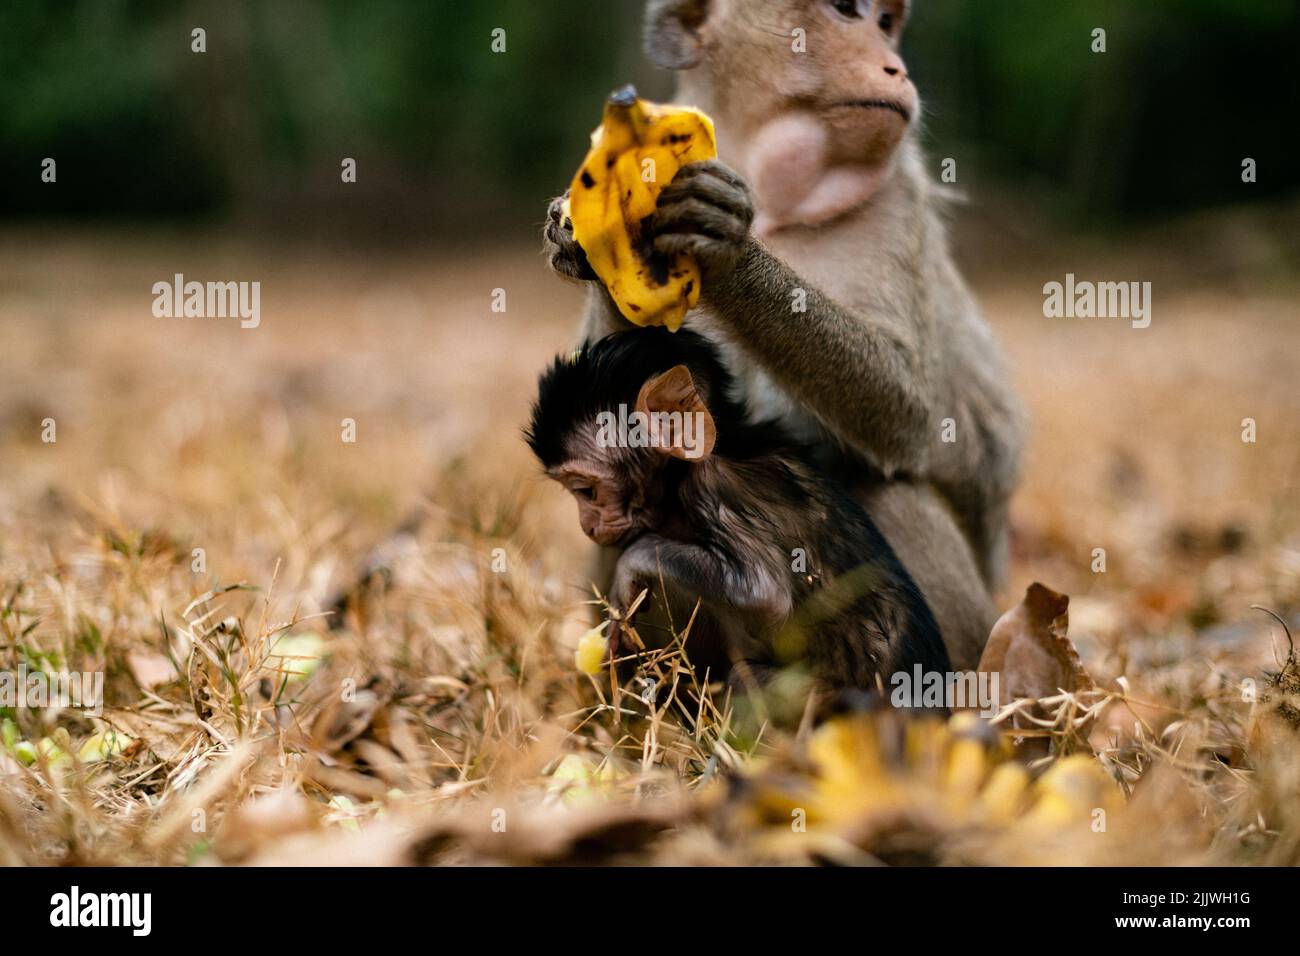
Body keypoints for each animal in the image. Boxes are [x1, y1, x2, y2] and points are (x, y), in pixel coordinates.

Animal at [542, 0, 1025, 670]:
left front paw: (731, 251)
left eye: (886, 22)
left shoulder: (897, 198)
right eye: (847, 12)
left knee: (888, 488)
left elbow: (908, 414)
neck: (774, 200)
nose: (895, 66)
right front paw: (580, 243)